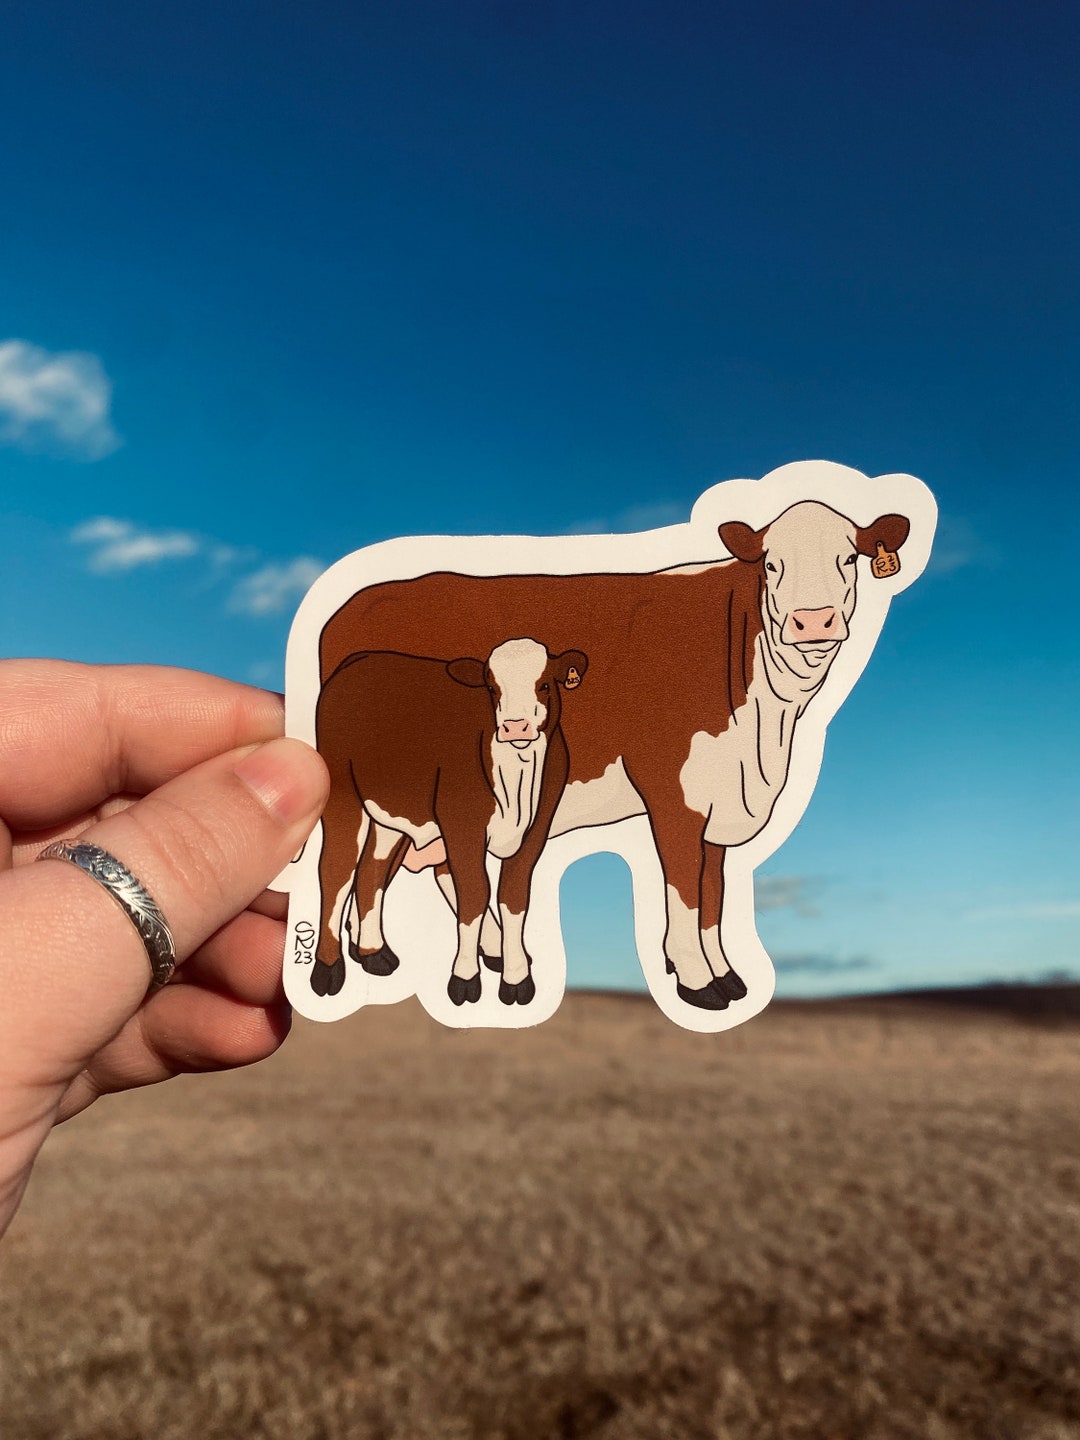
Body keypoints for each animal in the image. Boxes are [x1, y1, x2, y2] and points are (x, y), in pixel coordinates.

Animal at [312, 639, 588, 1007]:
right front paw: (466, 978)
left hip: (392, 813)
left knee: (371, 869)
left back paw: (373, 952)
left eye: (544, 685)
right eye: (491, 687)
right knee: (337, 870)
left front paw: (516, 978)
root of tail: (362, 658)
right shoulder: (462, 825)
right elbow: (473, 895)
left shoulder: (536, 829)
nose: (515, 727)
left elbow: (512, 898)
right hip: (342, 795)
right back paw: (328, 969)